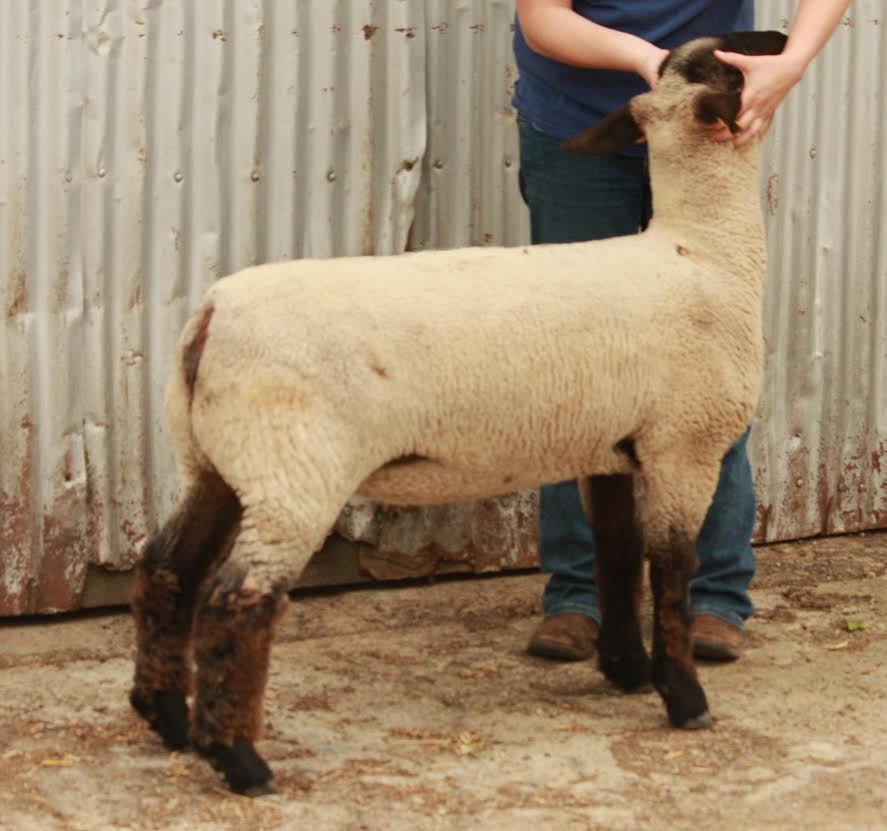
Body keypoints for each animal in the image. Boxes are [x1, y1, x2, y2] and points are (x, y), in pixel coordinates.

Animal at [130, 30, 788, 795]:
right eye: (728, 60)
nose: (780, 39)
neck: (701, 250)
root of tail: (210, 316)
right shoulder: (683, 443)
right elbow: (673, 571)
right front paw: (682, 697)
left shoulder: (609, 447)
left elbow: (617, 556)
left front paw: (625, 668)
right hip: (293, 470)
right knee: (237, 601)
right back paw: (239, 759)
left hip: (216, 459)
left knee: (167, 569)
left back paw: (167, 718)